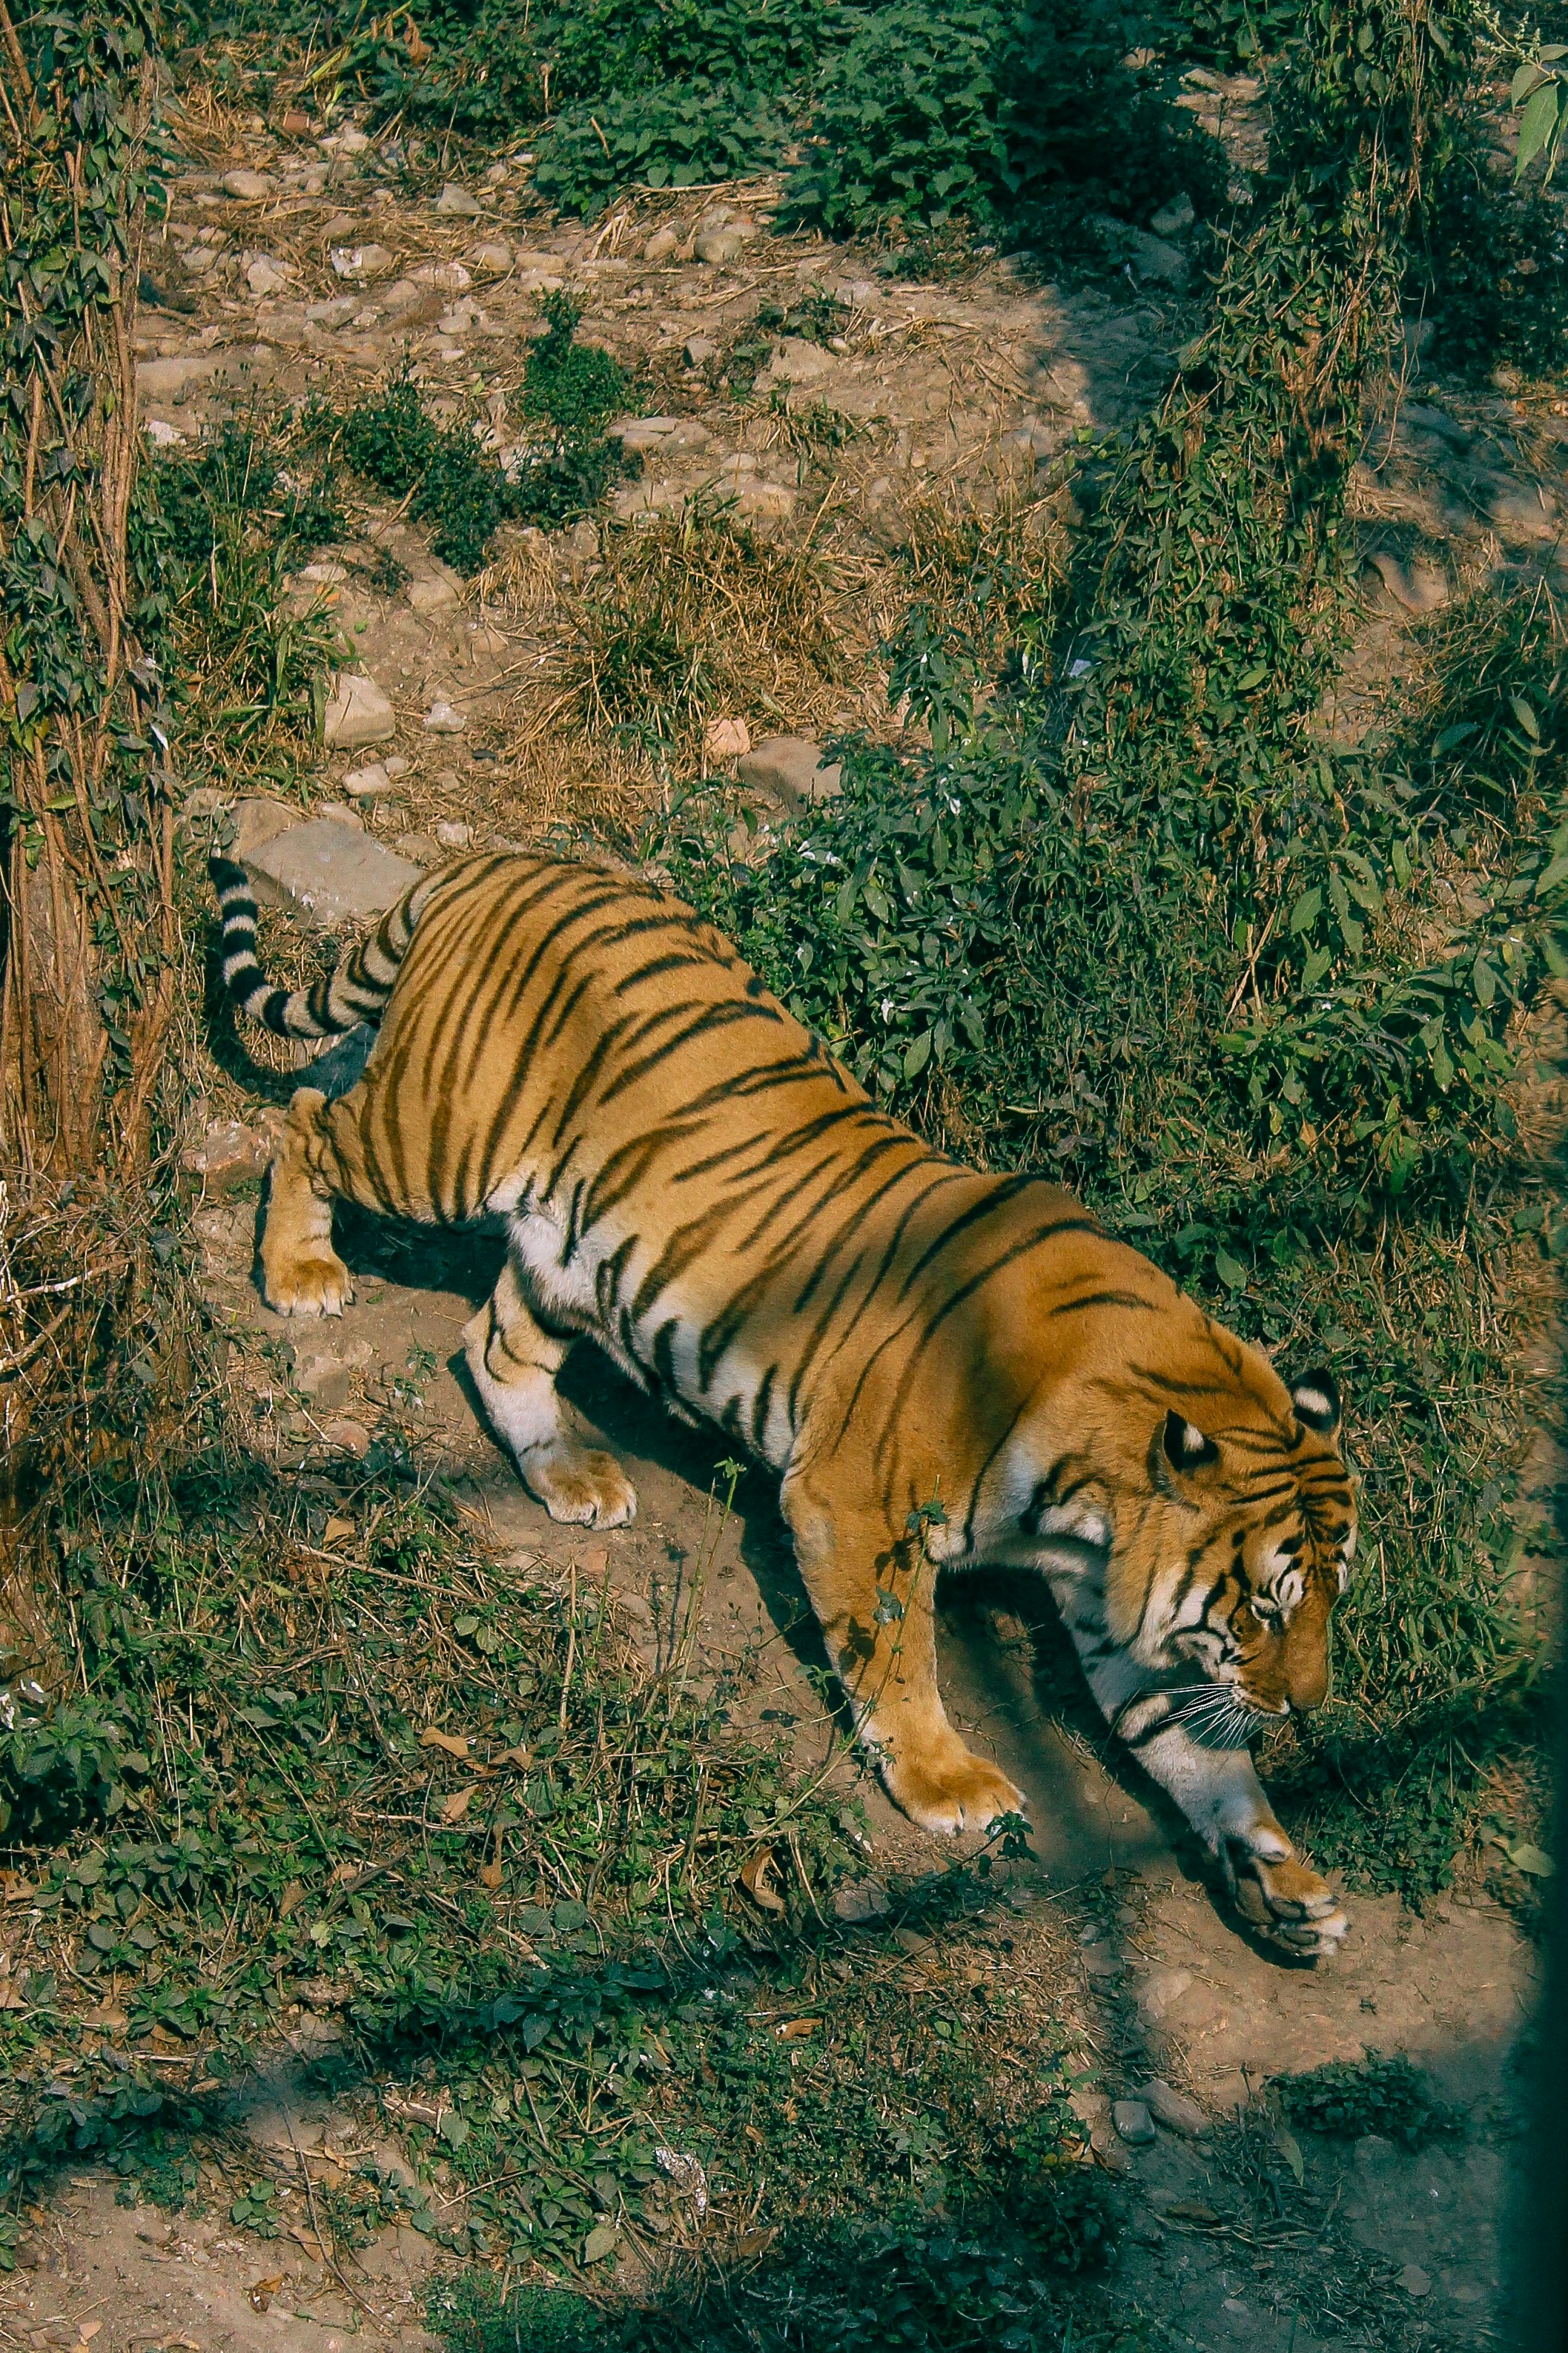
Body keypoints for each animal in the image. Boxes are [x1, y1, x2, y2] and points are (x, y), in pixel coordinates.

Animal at [212, 846, 1356, 1958]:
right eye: (1267, 1604)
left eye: (1325, 1602)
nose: (1308, 1704)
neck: (1096, 1505)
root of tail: (507, 853)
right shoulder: (857, 1509)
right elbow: (899, 1663)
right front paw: (948, 1783)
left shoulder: (1114, 1609)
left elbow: (1196, 1752)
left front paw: (1284, 1878)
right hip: (435, 1142)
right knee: (306, 1123)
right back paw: (300, 1271)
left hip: (566, 1249)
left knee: (491, 1345)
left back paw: (572, 1474)